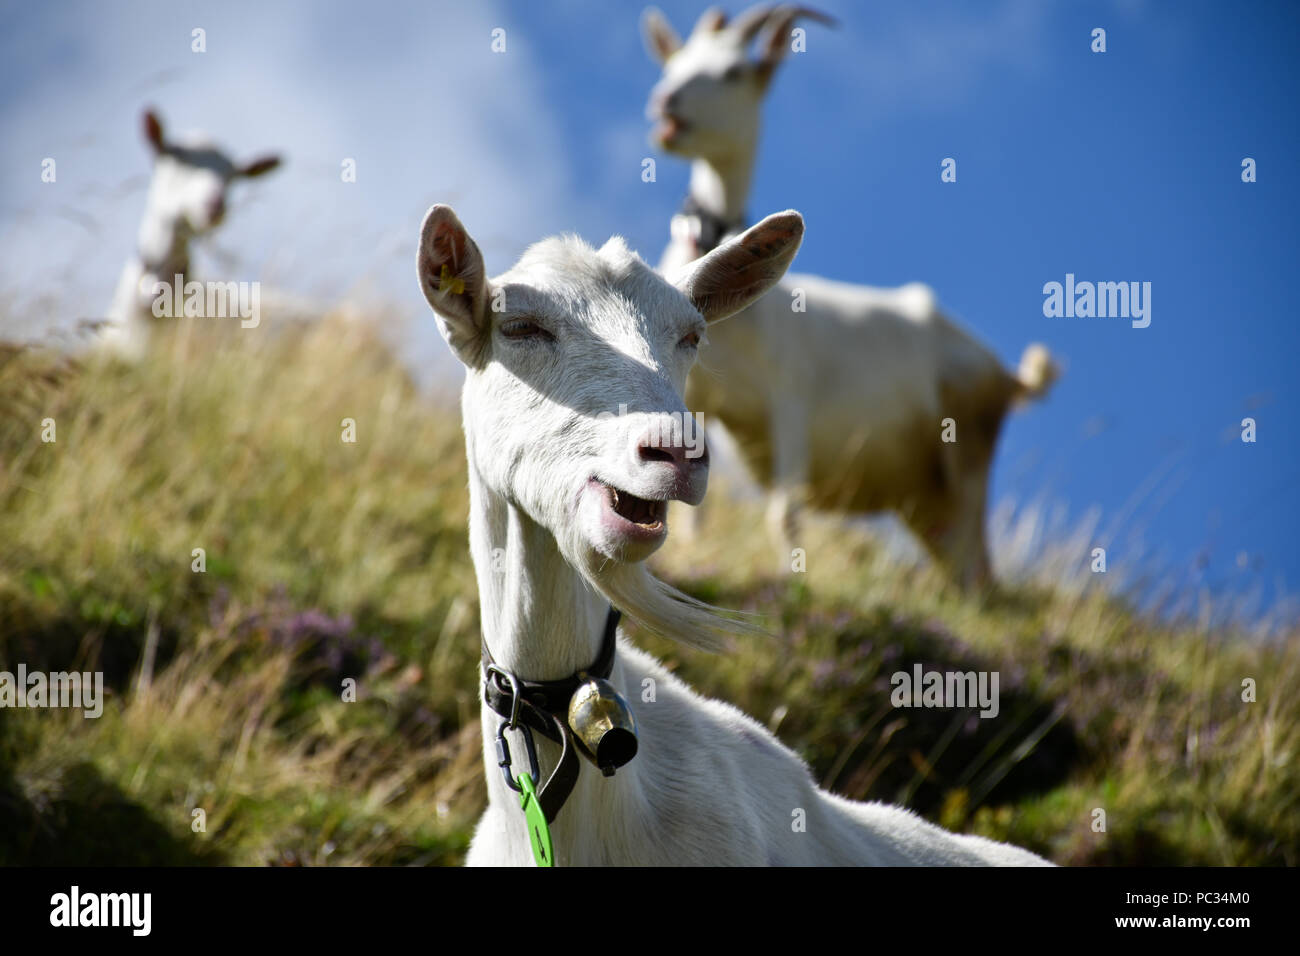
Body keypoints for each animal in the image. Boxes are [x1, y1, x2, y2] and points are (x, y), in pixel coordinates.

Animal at [643, 5, 1059, 587]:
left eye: (734, 71)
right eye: (673, 62)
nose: (664, 104)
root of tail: (1007, 375)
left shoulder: (790, 400)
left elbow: (785, 513)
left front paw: (792, 585)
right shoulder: (698, 401)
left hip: (967, 461)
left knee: (976, 566)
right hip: (925, 497)